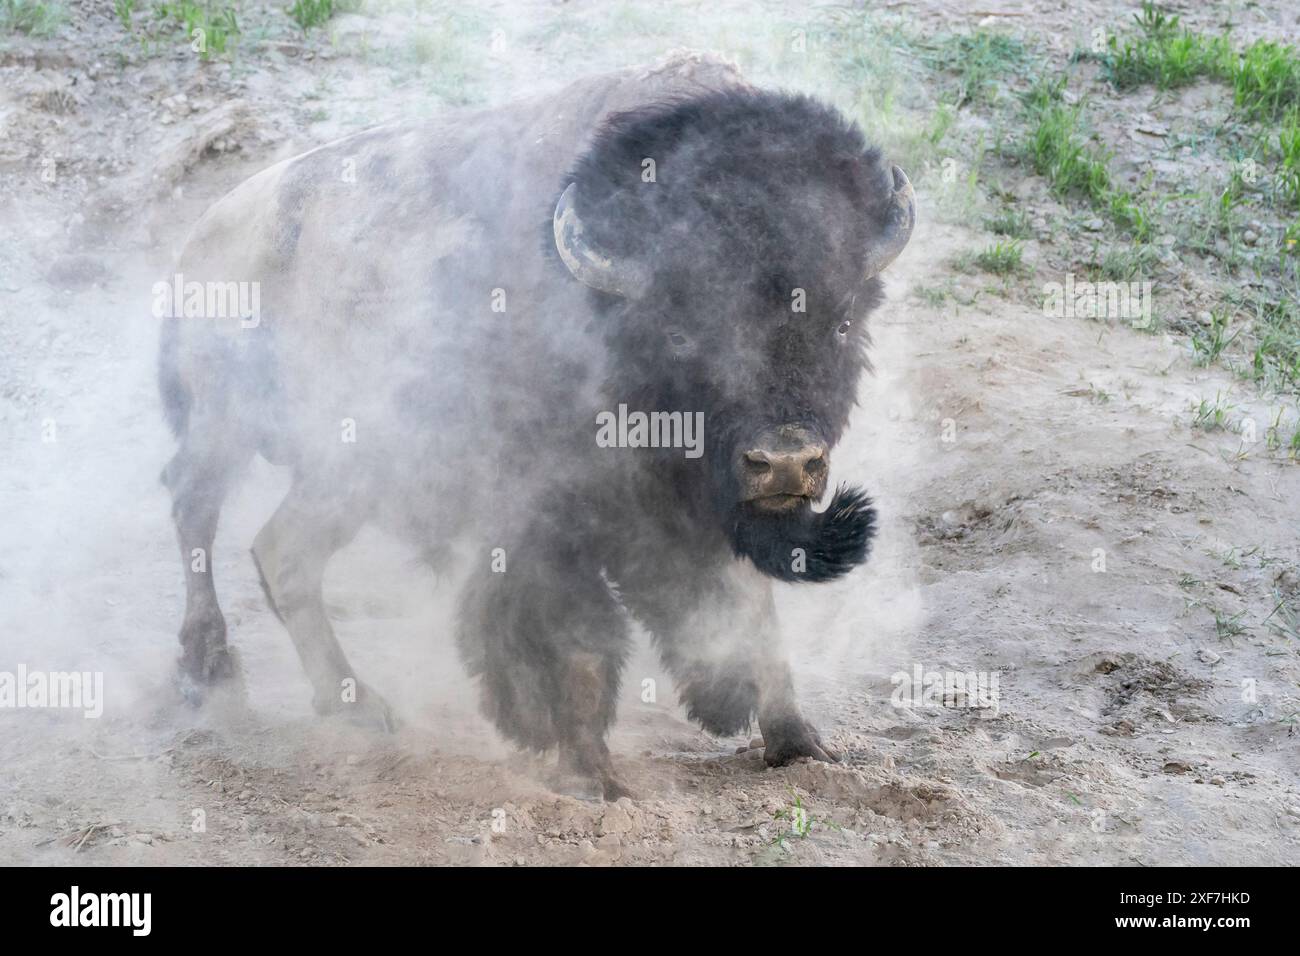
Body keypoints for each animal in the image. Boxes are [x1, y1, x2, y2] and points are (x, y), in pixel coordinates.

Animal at [158, 52, 914, 800]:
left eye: (842, 322)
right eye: (681, 334)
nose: (786, 461)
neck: (606, 316)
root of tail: (201, 240)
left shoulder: (704, 504)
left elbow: (750, 614)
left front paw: (801, 744)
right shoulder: (550, 519)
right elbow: (581, 640)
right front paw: (591, 778)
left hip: (343, 470)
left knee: (275, 546)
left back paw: (331, 698)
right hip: (254, 436)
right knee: (213, 519)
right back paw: (238, 678)